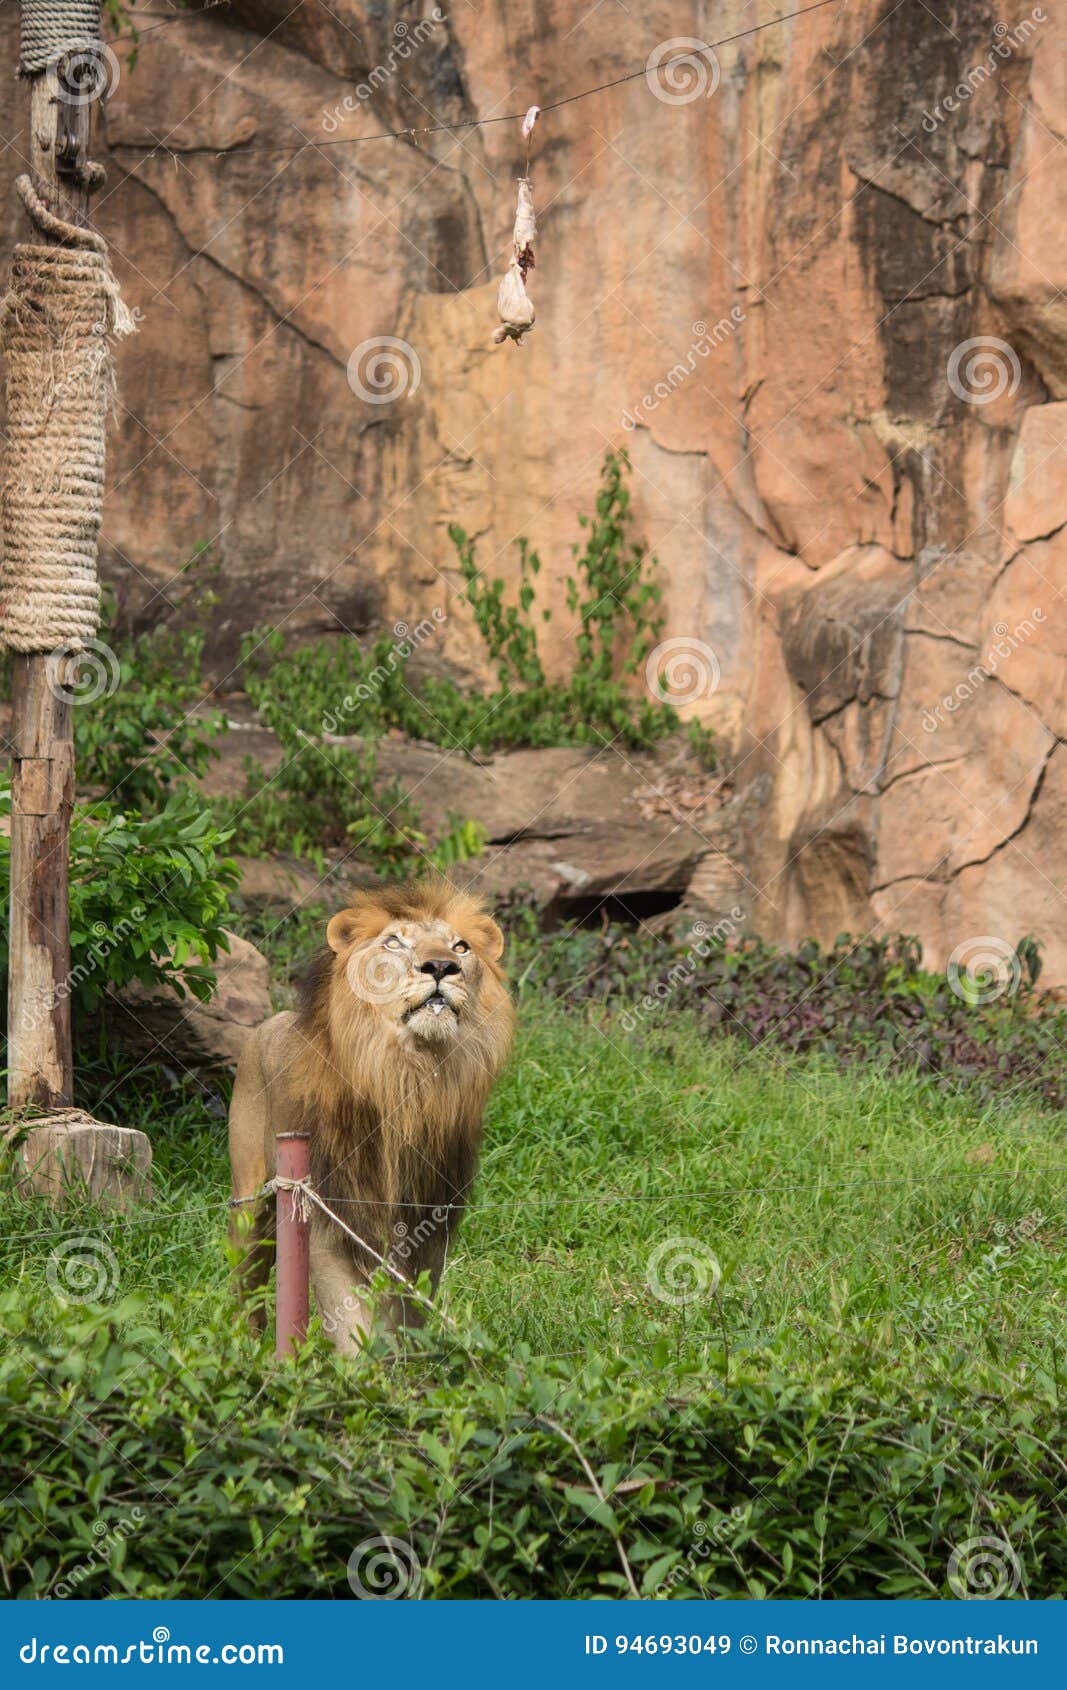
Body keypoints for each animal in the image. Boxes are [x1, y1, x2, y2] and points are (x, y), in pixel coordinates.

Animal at [228, 877, 514, 1353]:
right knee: (245, 1281)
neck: (407, 1078)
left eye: (461, 946)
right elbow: (349, 1319)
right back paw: (242, 1347)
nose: (441, 966)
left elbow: (408, 1313)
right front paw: (360, 1369)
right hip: (252, 1201)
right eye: (394, 942)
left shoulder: (427, 1220)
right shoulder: (331, 1213)